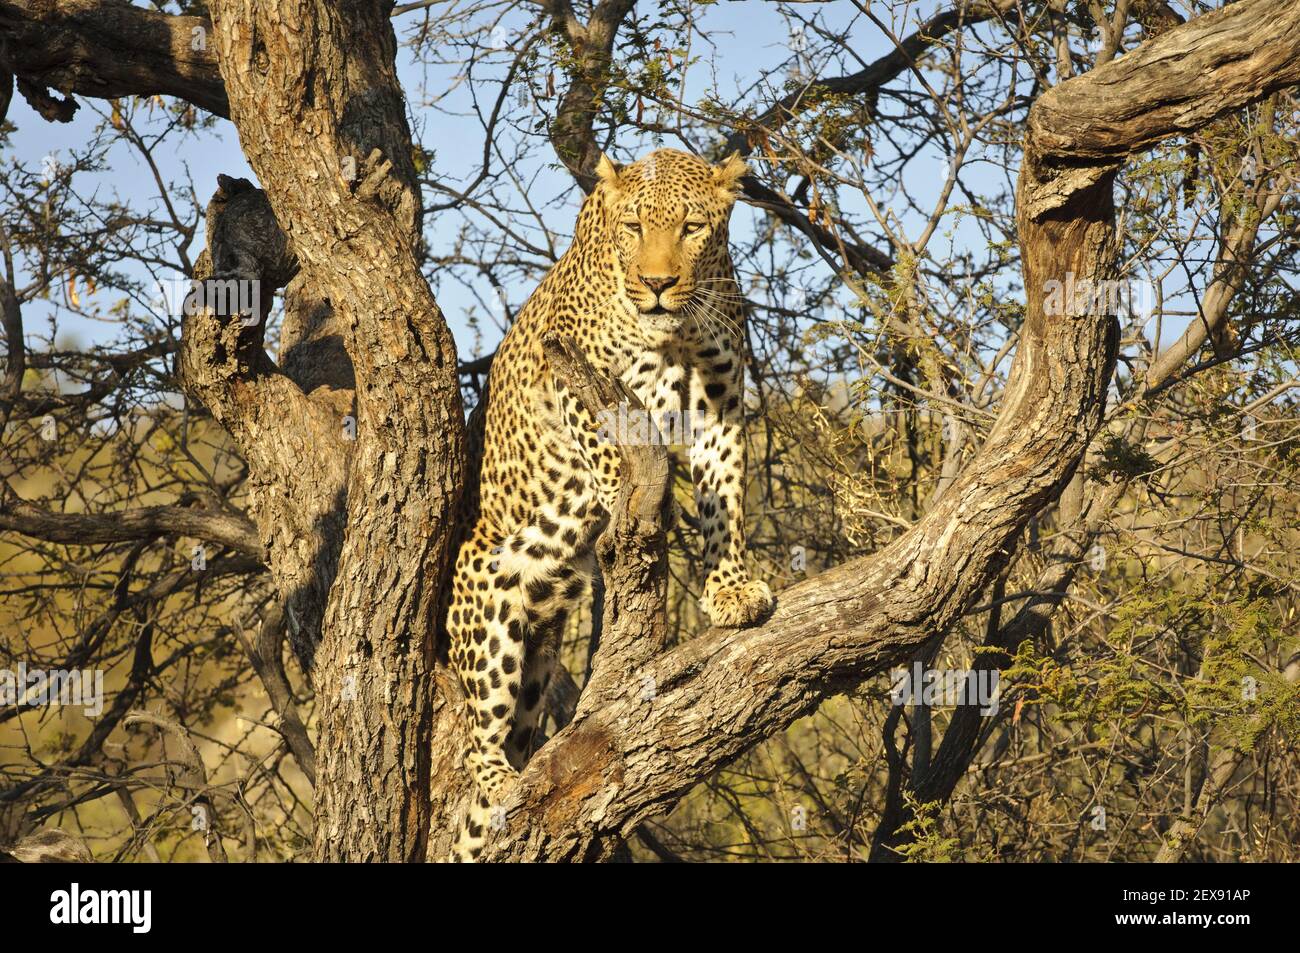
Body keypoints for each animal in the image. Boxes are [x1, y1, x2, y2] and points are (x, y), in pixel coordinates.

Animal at [446, 148, 773, 860]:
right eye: (632, 227)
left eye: (692, 228)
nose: (656, 284)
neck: (676, 332)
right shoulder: (570, 371)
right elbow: (602, 444)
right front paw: (620, 490)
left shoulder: (721, 401)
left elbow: (726, 494)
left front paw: (731, 587)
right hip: (486, 618)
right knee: (479, 733)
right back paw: (500, 784)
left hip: (538, 658)